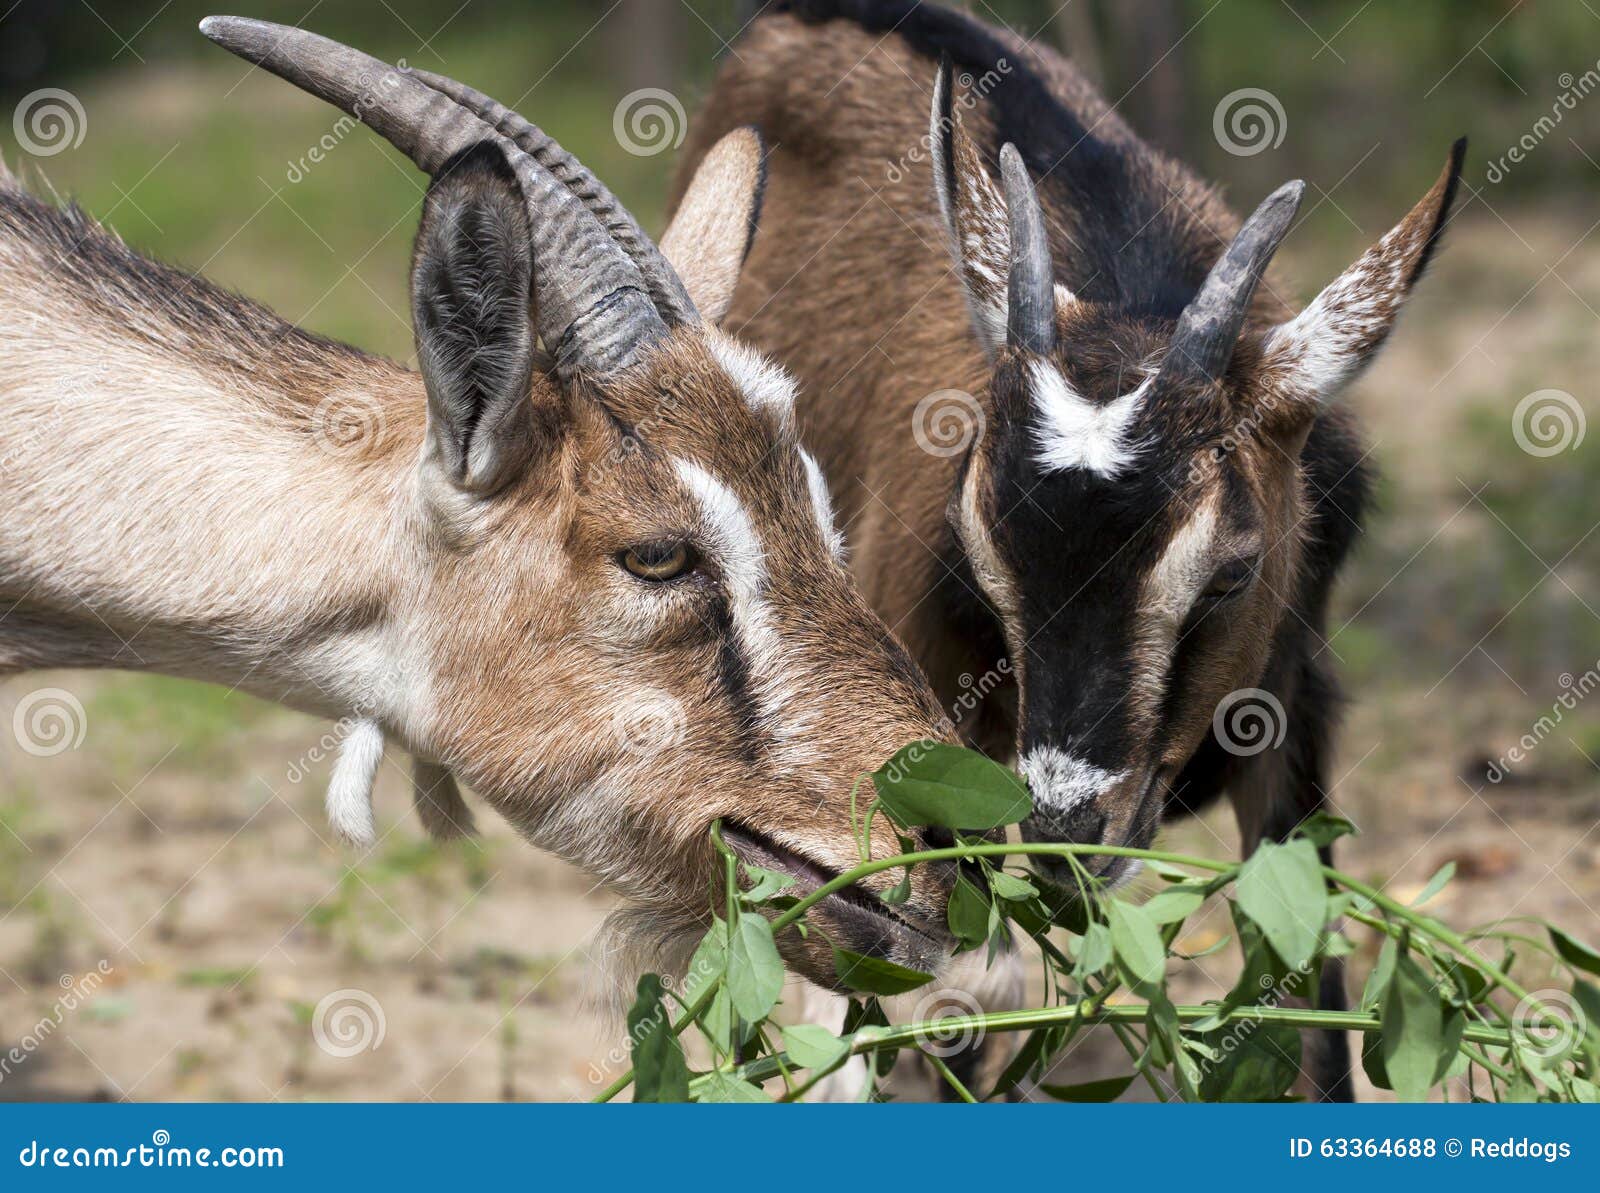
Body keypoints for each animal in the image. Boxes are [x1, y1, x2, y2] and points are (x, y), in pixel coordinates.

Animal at [677, 0, 1464, 1099]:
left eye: (1234, 571)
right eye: (976, 549)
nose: (1064, 838)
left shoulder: (1290, 702)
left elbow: (1308, 987)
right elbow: (941, 984)